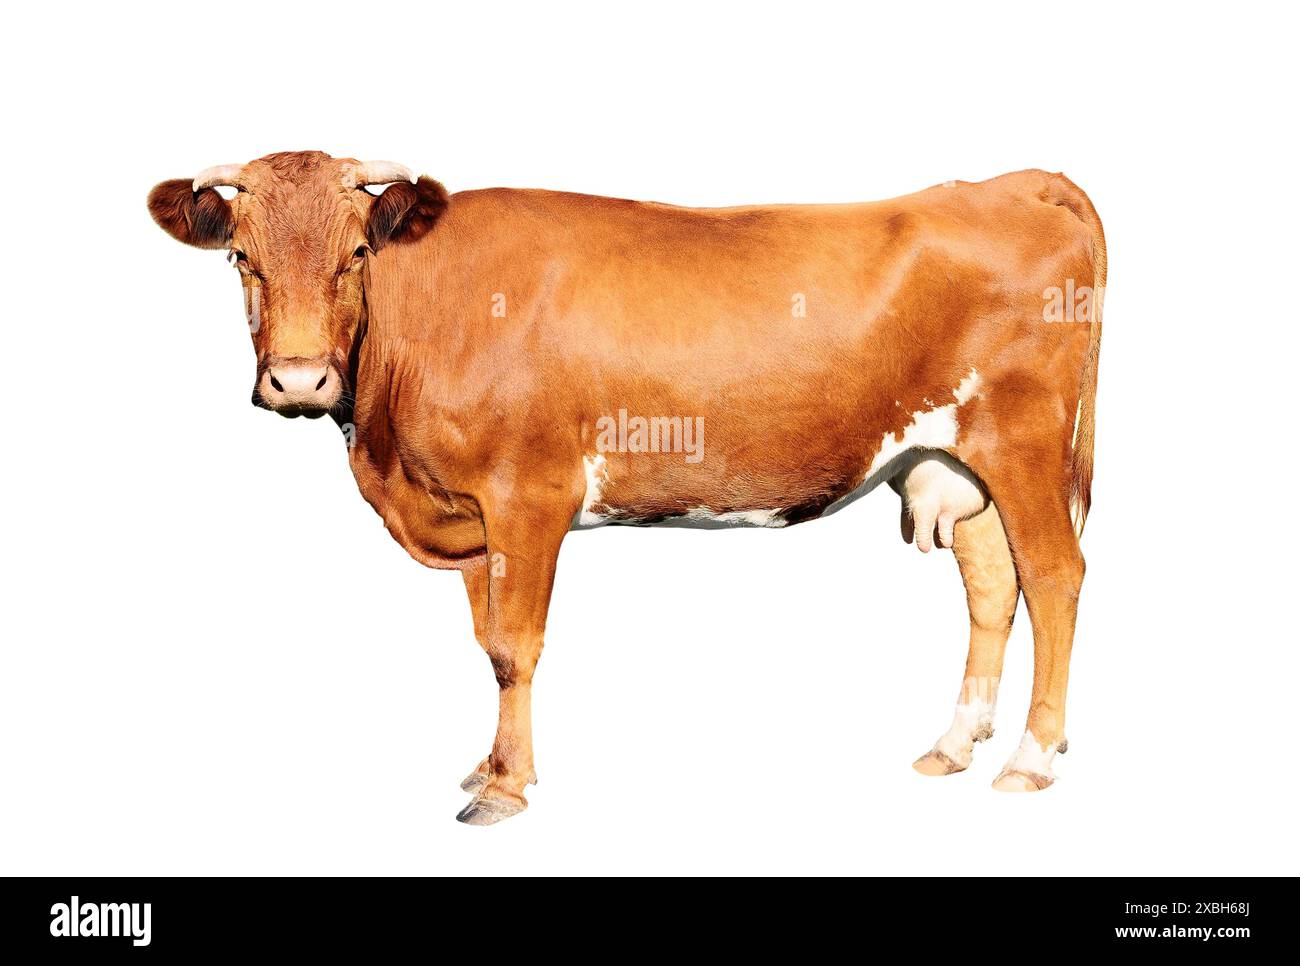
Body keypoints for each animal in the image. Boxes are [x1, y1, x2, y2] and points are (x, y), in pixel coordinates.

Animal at [148, 151, 1105, 825]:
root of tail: (1016, 182)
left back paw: (1031, 757)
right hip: (950, 458)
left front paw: (505, 789)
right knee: (992, 586)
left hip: (1023, 441)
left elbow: (513, 649)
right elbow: (485, 642)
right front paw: (487, 764)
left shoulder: (528, 496)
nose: (299, 381)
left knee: (1055, 577)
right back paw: (953, 745)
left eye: (355, 254)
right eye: (241, 259)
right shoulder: (474, 520)